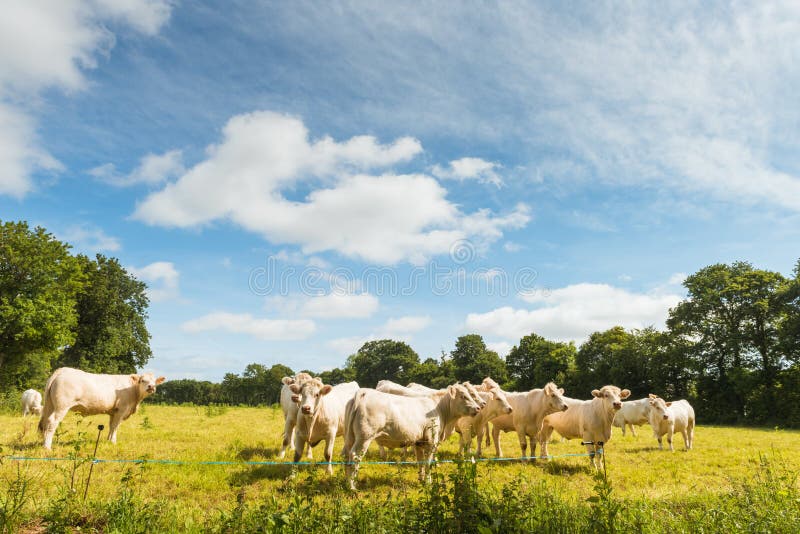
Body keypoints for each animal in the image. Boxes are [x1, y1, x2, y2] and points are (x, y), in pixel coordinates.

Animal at [343, 384, 481, 490]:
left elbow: (420, 462)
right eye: (464, 396)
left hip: (350, 437)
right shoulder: (431, 441)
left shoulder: (419, 442)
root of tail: (364, 392)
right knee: (355, 456)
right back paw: (352, 486)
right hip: (364, 437)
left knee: (346, 455)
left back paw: (347, 483)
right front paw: (429, 482)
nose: (478, 408)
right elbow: (428, 463)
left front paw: (421, 480)